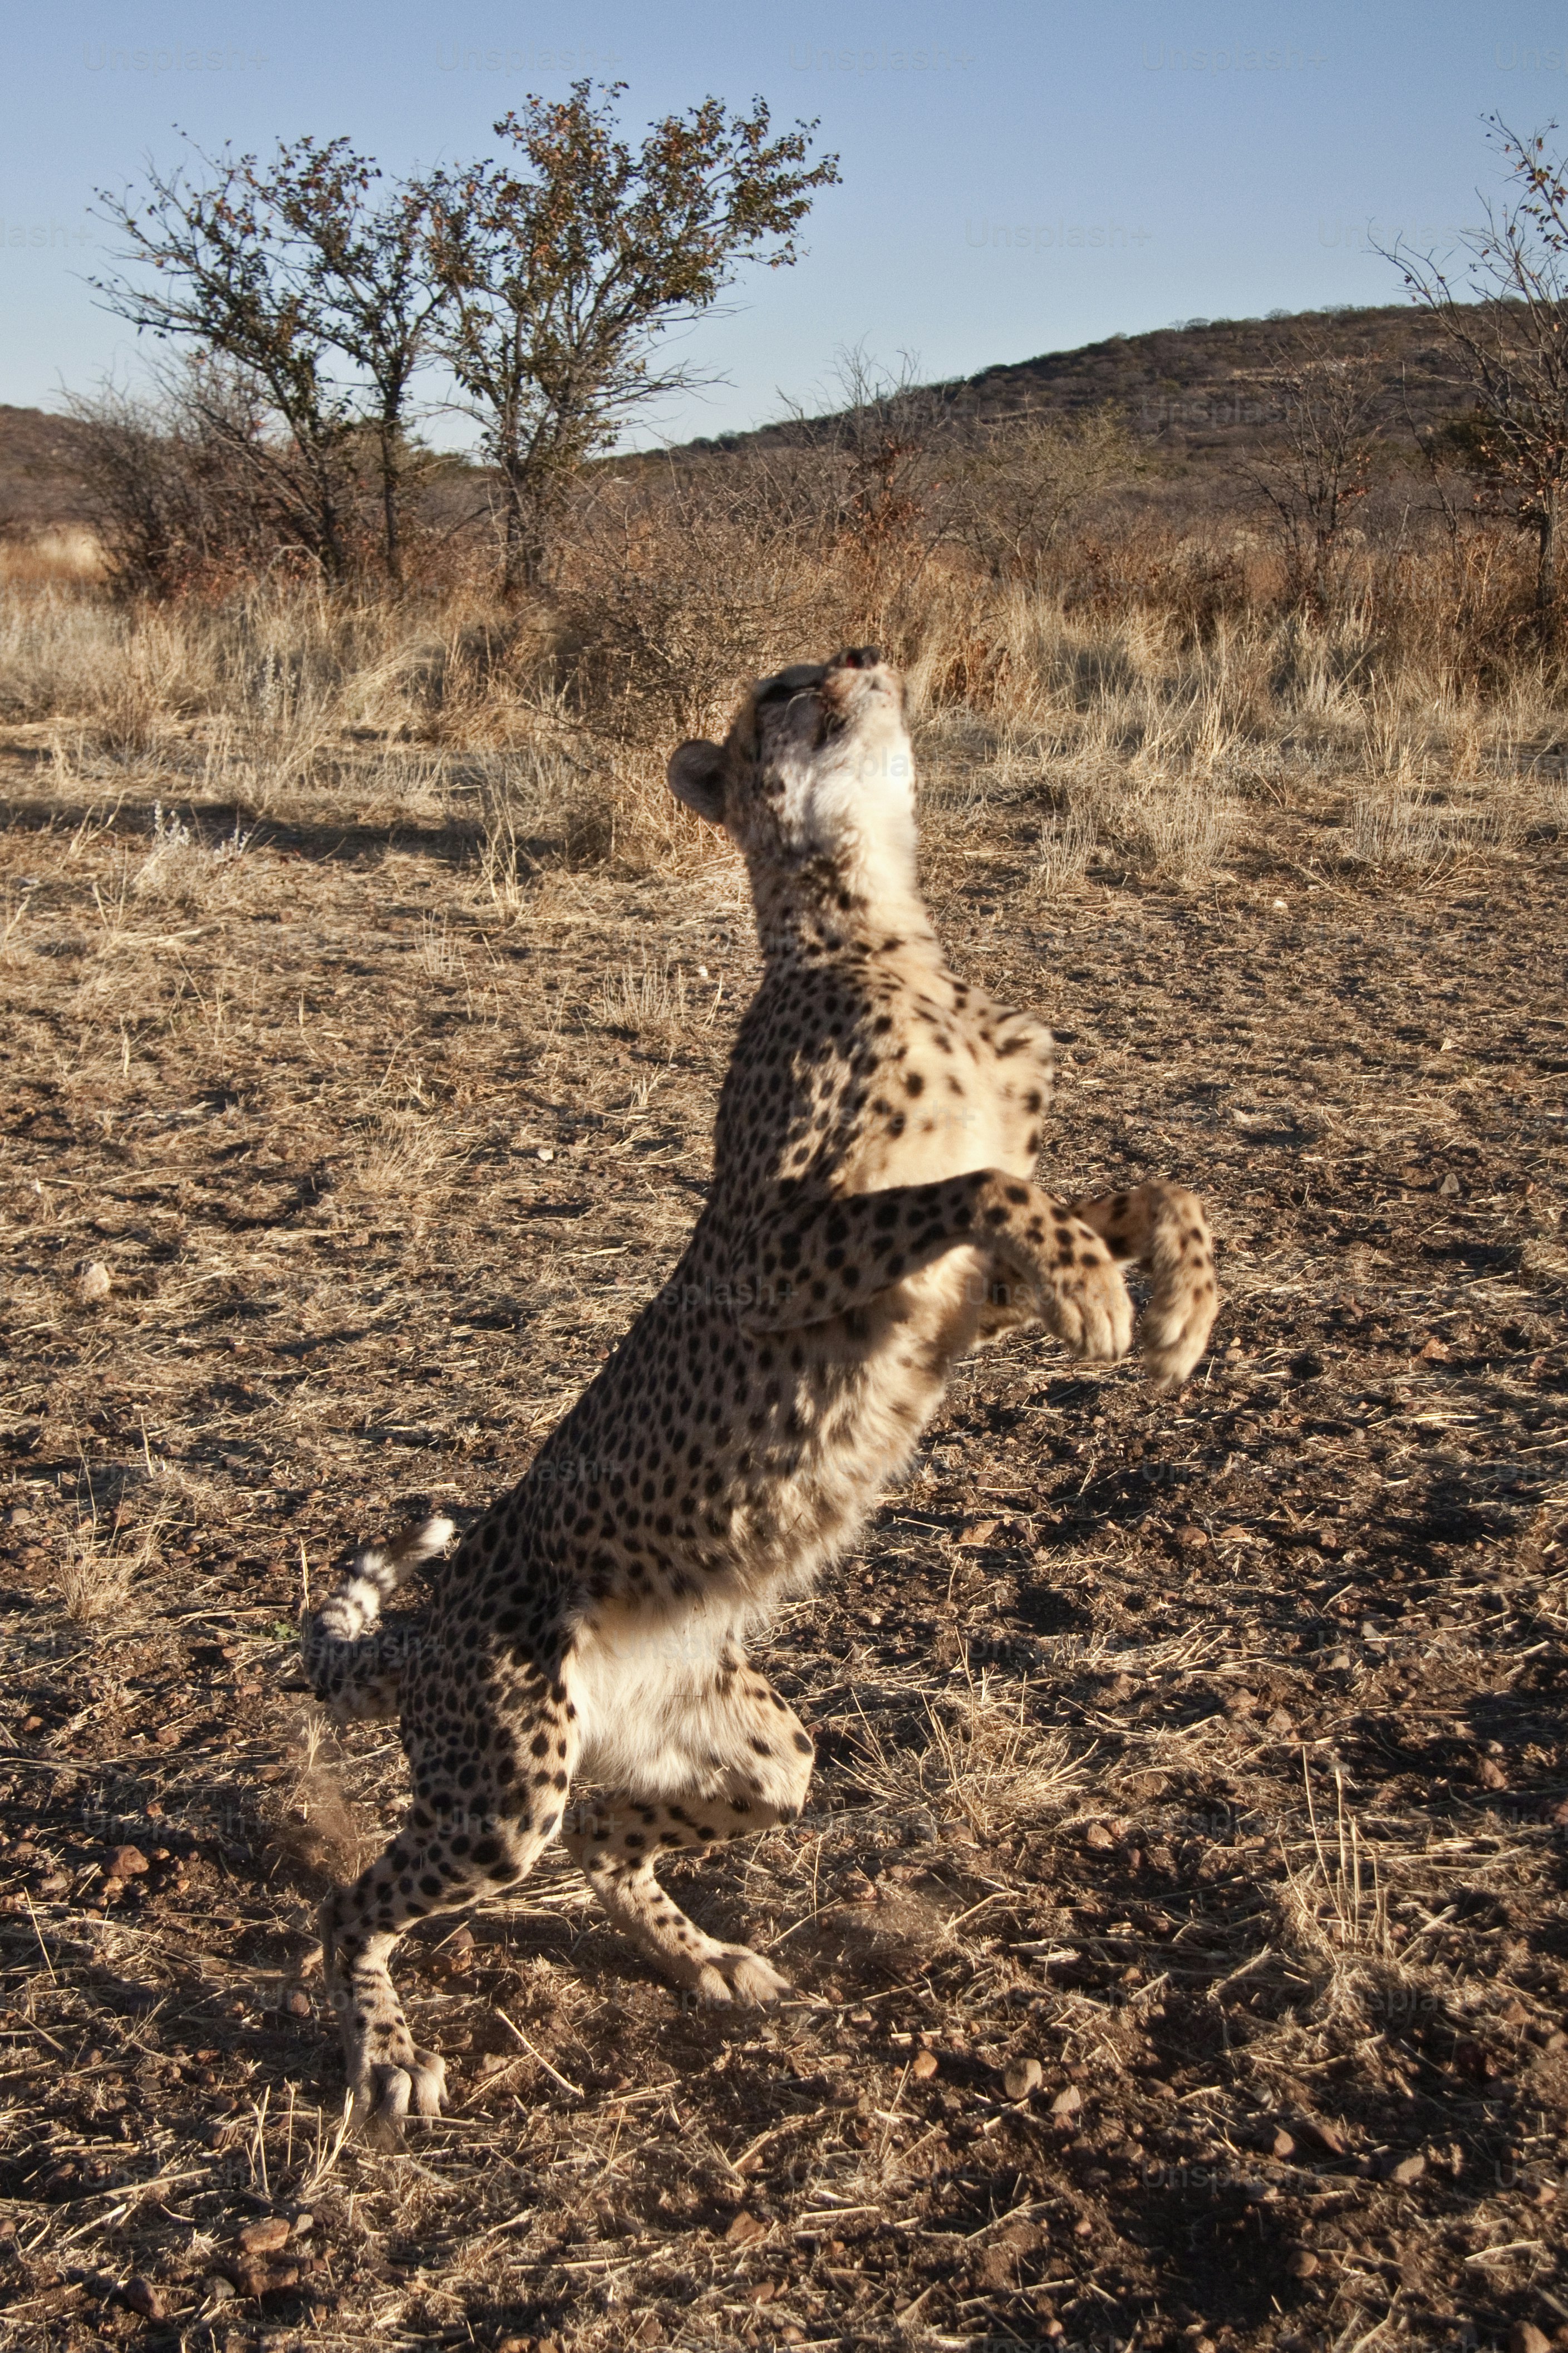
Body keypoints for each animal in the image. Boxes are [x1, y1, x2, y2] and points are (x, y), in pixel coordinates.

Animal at [302, 645, 1219, 2141]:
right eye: (782, 688)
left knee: (613, 1840)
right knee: (355, 1905)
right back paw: (385, 2051)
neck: (881, 934)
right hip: (504, 1772)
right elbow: (990, 1184)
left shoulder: (957, 1301)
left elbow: (1143, 1181)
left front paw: (1179, 1297)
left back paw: (707, 1956)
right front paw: (1105, 1290)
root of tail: (425, 1631)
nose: (861, 657)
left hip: (743, 1748)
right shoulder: (772, 1253)